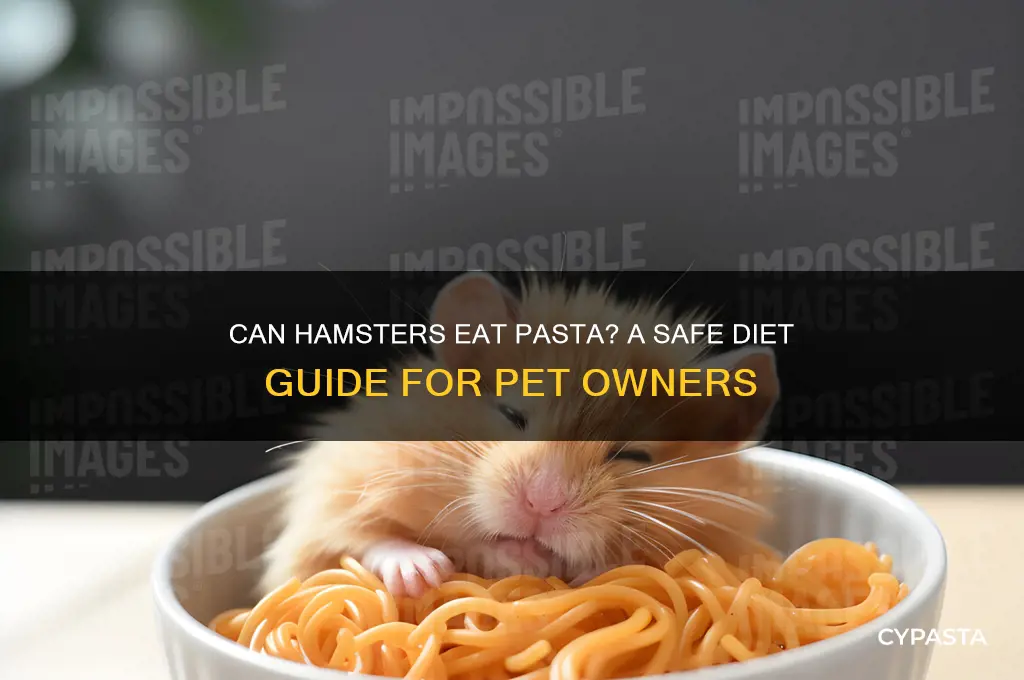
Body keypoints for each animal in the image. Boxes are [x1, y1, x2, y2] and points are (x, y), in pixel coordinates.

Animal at [260, 272, 780, 598]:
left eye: (633, 455)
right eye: (512, 413)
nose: (542, 505)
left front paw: (573, 571)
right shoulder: (334, 491)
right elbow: (363, 538)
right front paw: (428, 572)